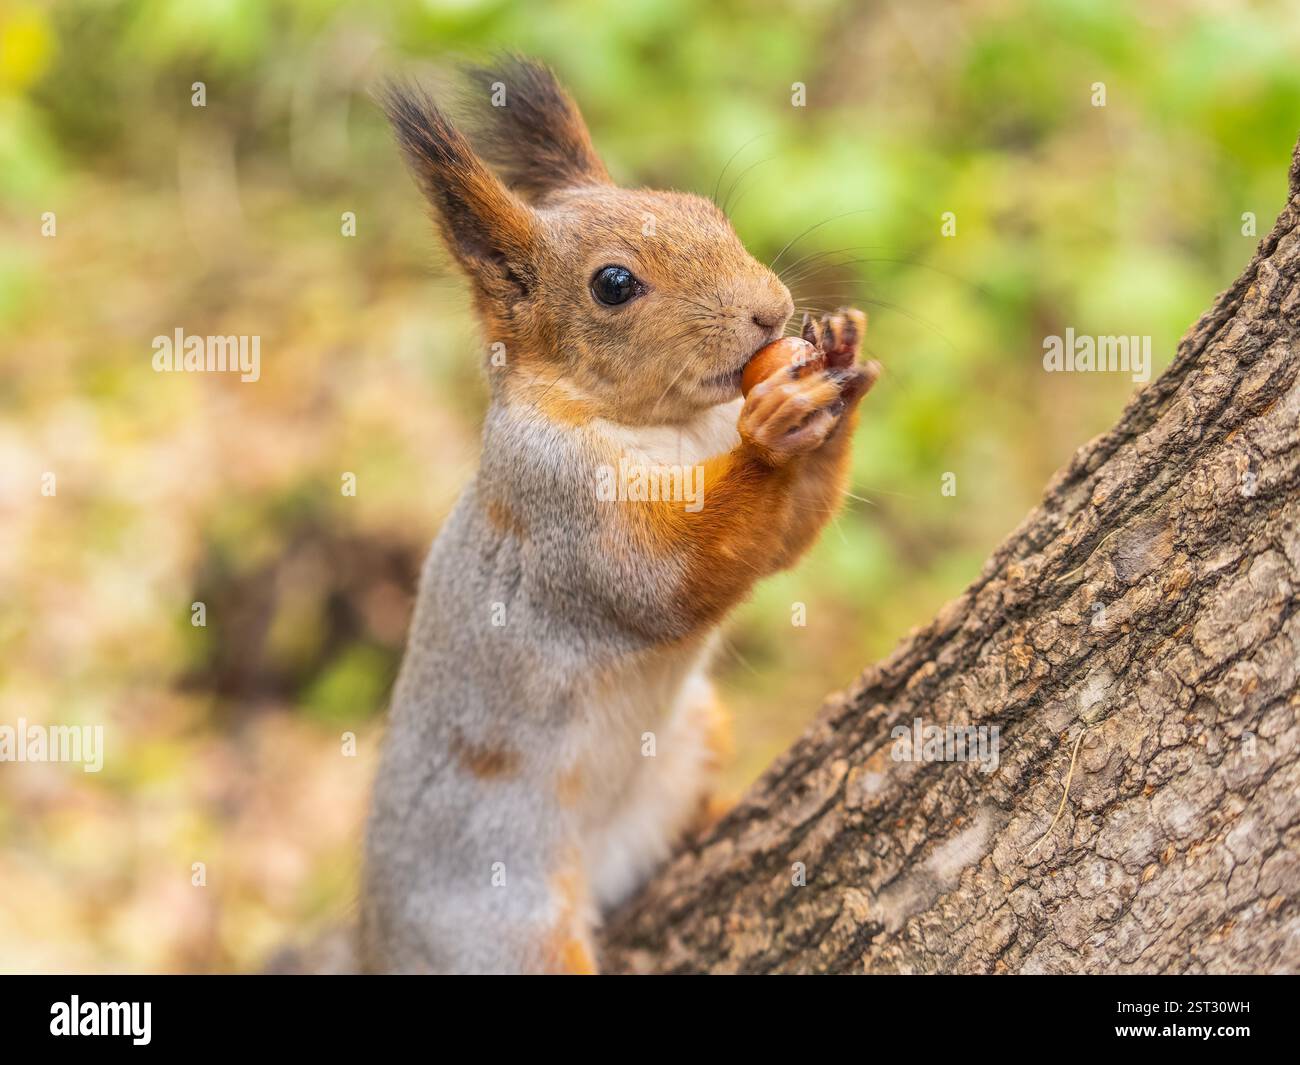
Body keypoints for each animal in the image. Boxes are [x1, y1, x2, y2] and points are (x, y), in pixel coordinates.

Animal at [360, 56, 879, 974]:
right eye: (614, 285)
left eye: (706, 209)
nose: (771, 310)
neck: (669, 428)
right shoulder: (561, 512)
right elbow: (667, 579)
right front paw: (774, 432)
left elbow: (786, 539)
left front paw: (840, 354)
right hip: (501, 931)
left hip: (694, 735)